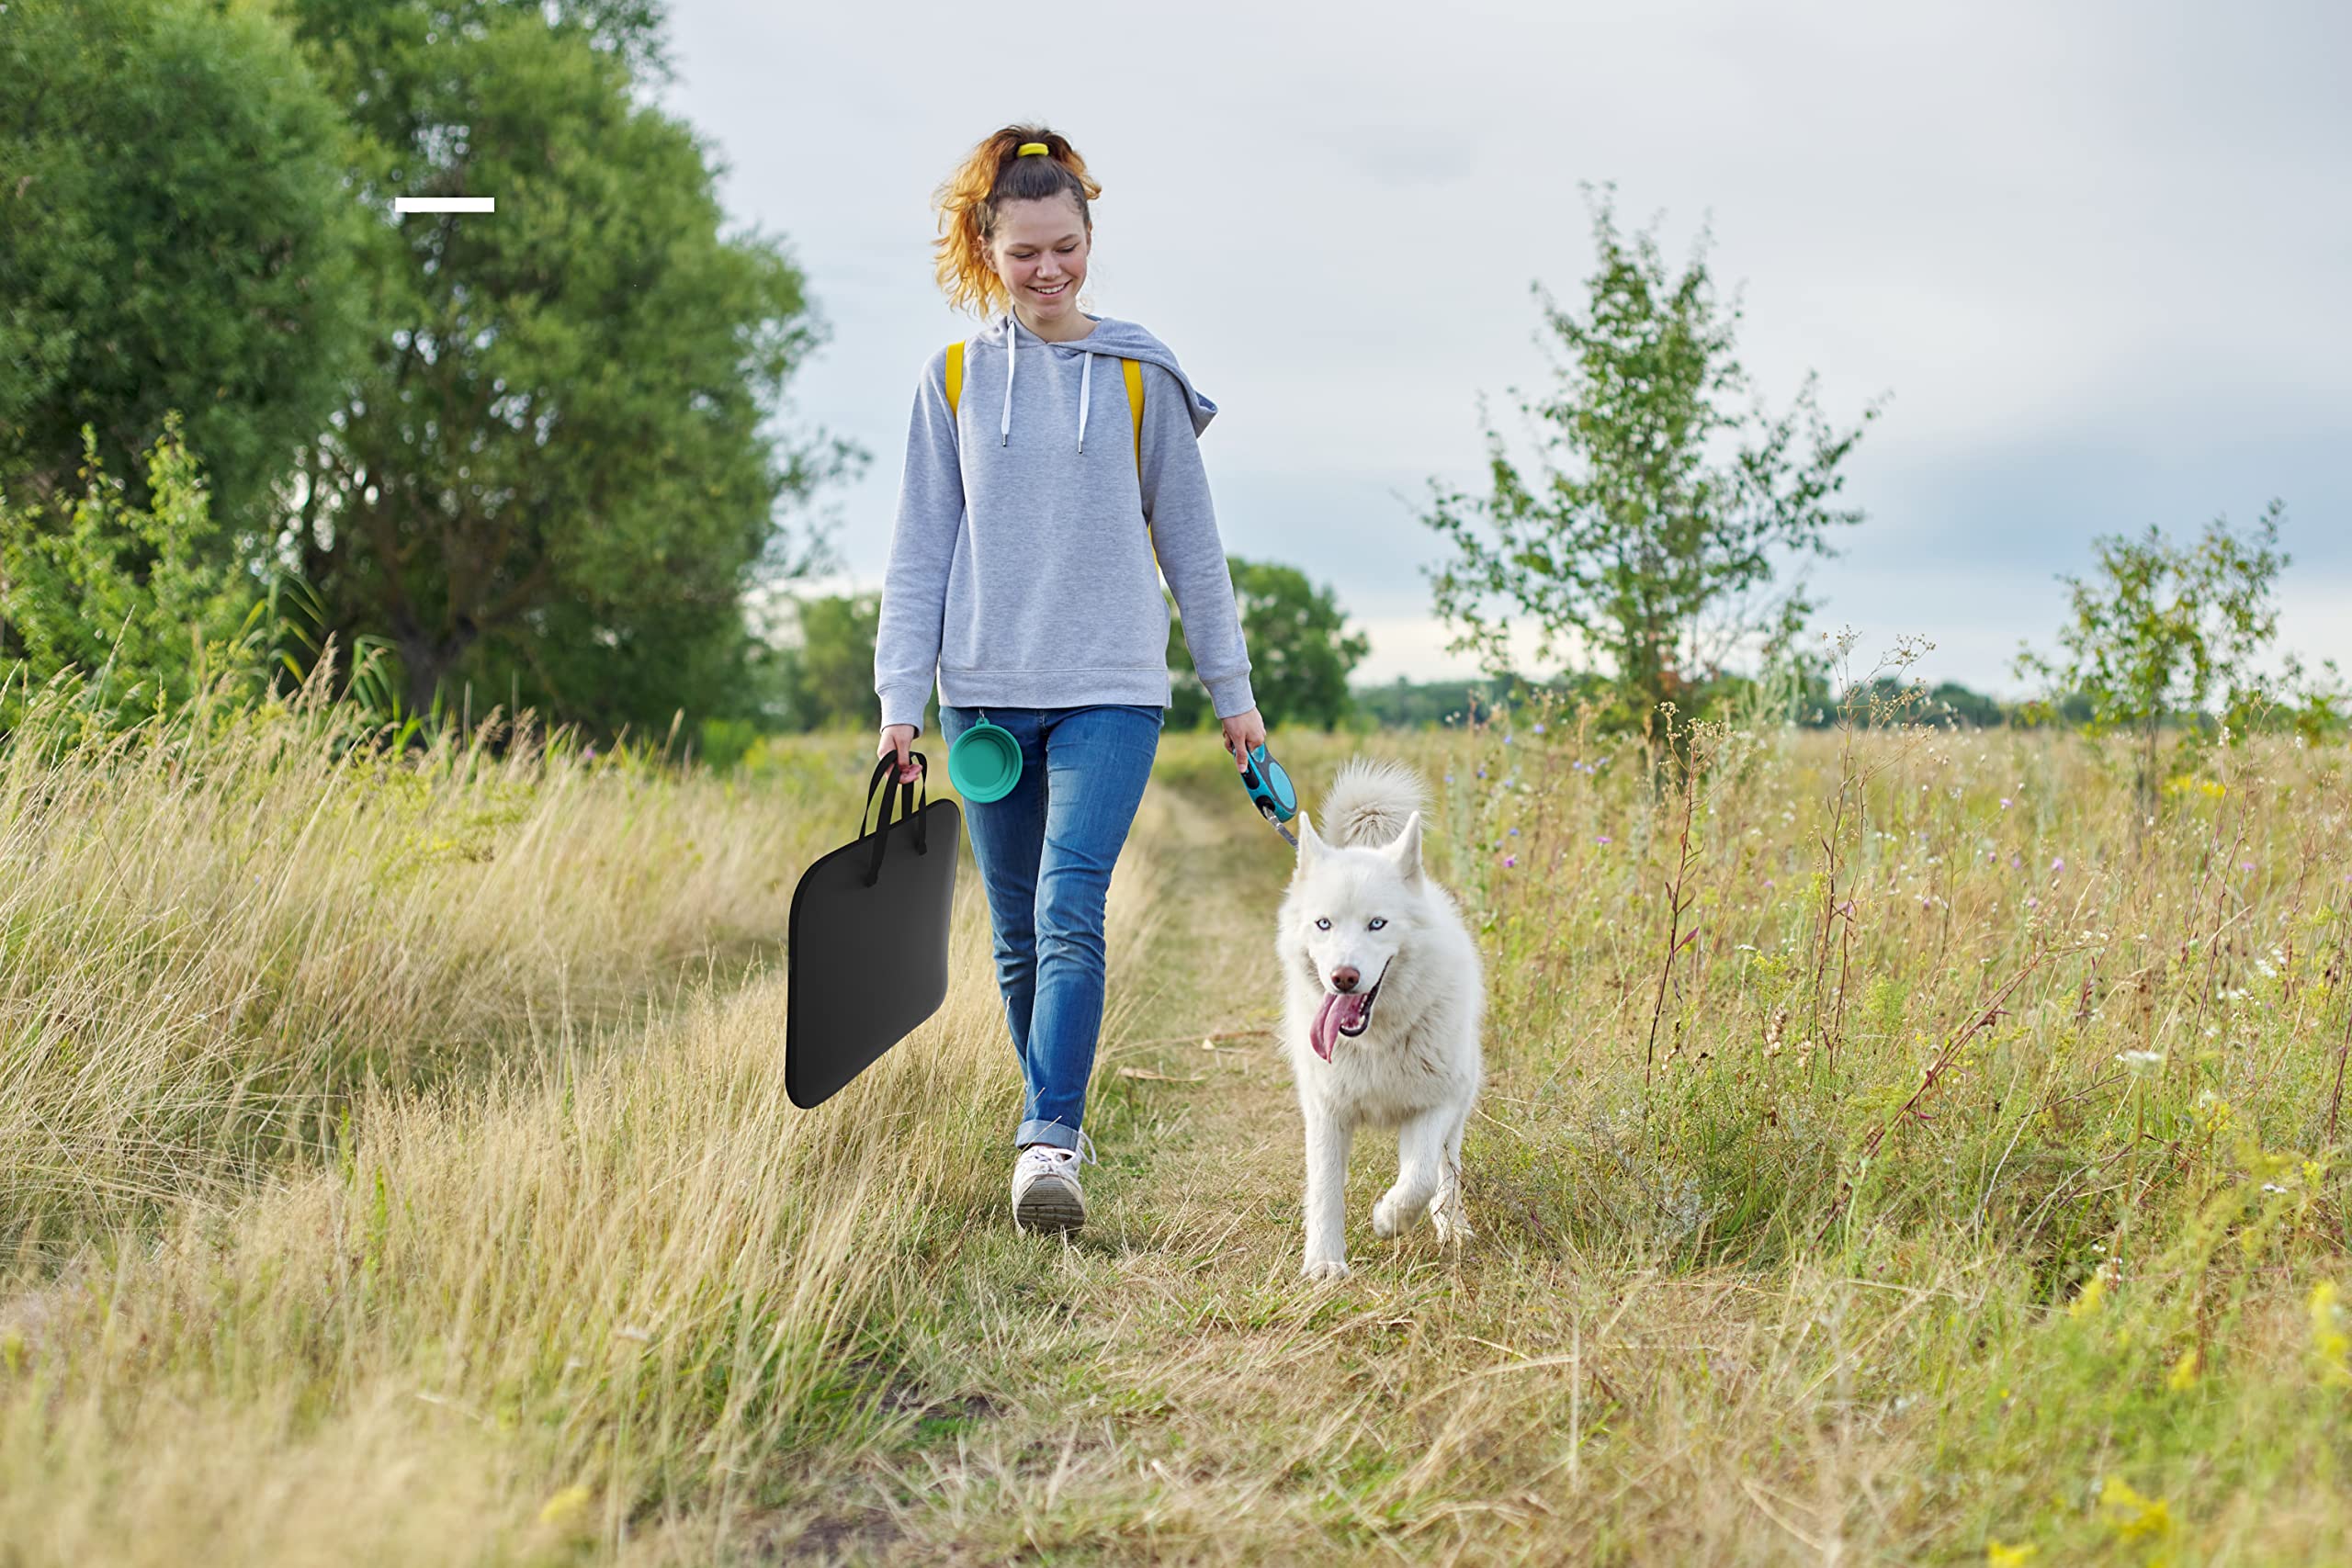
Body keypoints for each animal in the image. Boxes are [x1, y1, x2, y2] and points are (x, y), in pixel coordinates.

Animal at [1279, 751, 1476, 1279]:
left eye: (1377, 924)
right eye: (1324, 923)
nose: (1344, 978)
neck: (1373, 1042)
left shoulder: (1434, 1104)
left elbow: (1420, 1177)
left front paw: (1390, 1219)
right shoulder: (1326, 1112)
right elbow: (1325, 1189)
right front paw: (1325, 1263)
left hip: (1461, 1098)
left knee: (1445, 1171)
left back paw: (1452, 1227)